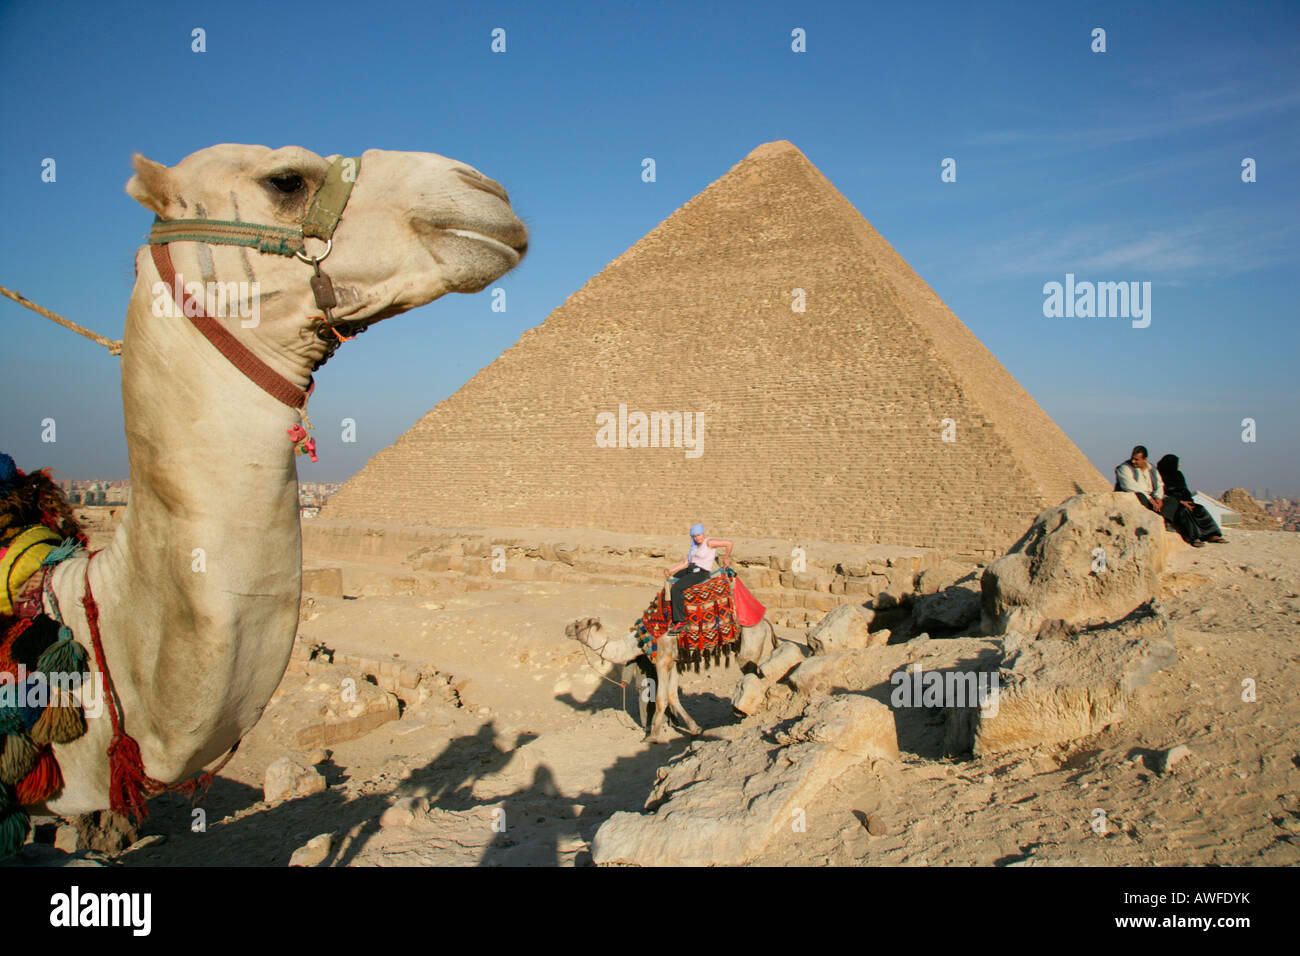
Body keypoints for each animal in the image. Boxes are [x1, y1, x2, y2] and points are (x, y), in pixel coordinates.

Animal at [565, 608, 777, 742]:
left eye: (578, 625)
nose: (566, 630)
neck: (639, 641)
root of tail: (765, 620)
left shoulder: (662, 661)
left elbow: (661, 698)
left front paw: (653, 736)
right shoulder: (673, 662)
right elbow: (673, 695)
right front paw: (695, 728)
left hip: (749, 646)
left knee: (753, 675)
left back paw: (744, 713)